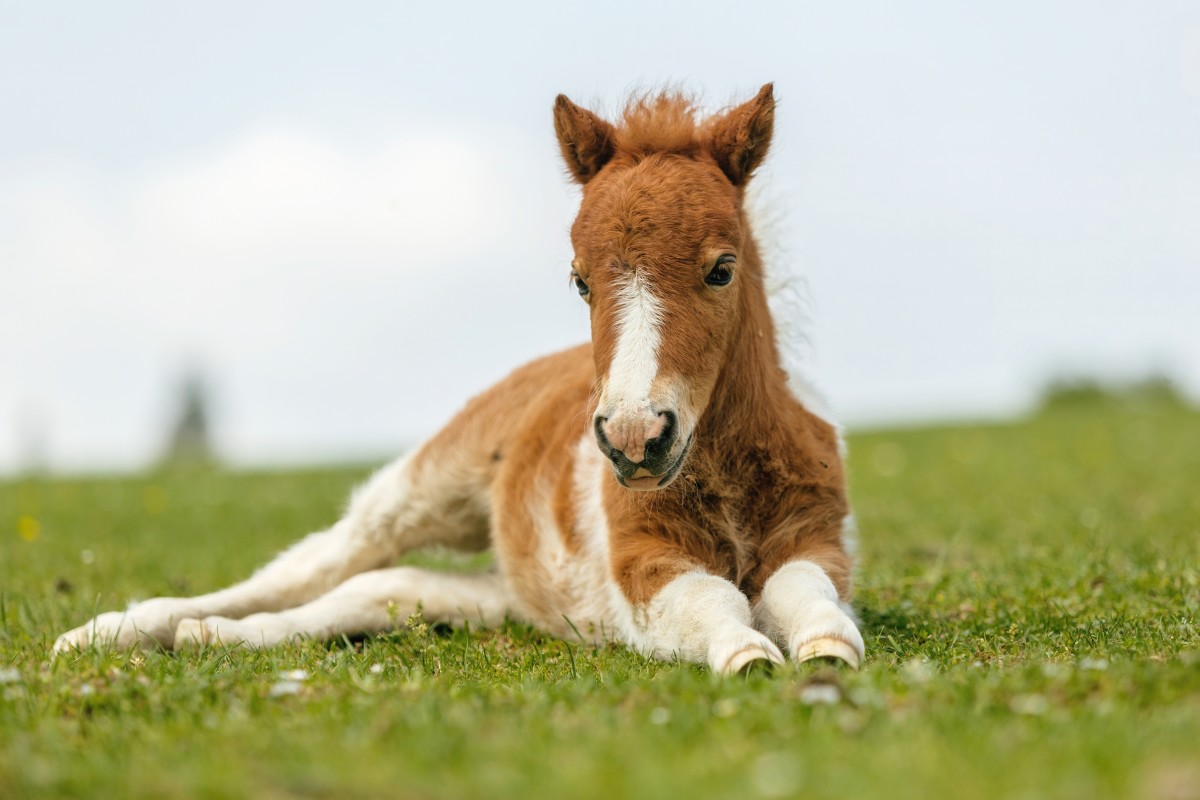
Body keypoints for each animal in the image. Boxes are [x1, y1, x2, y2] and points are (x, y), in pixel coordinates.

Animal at [54, 84, 865, 674]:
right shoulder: (643, 564)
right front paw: (749, 658)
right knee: (321, 560)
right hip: (427, 485)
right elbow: (711, 602)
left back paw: (209, 636)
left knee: (388, 588)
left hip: (514, 589)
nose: (635, 438)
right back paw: (115, 631)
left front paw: (829, 649)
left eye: (721, 268)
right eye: (579, 281)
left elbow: (805, 593)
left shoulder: (815, 539)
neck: (725, 472)